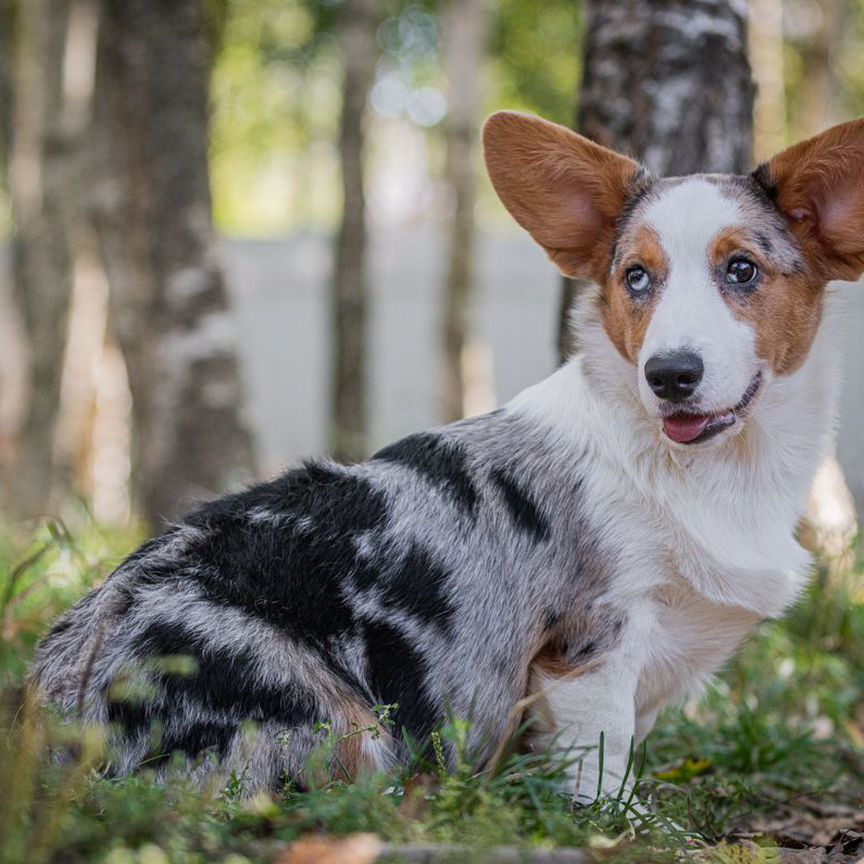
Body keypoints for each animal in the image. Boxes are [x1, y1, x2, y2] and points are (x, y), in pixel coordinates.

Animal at [30, 111, 860, 800]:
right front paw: (622, 826)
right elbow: (603, 764)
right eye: (636, 277)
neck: (716, 472)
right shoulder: (592, 644)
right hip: (348, 726)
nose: (670, 375)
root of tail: (51, 728)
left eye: (742, 269)